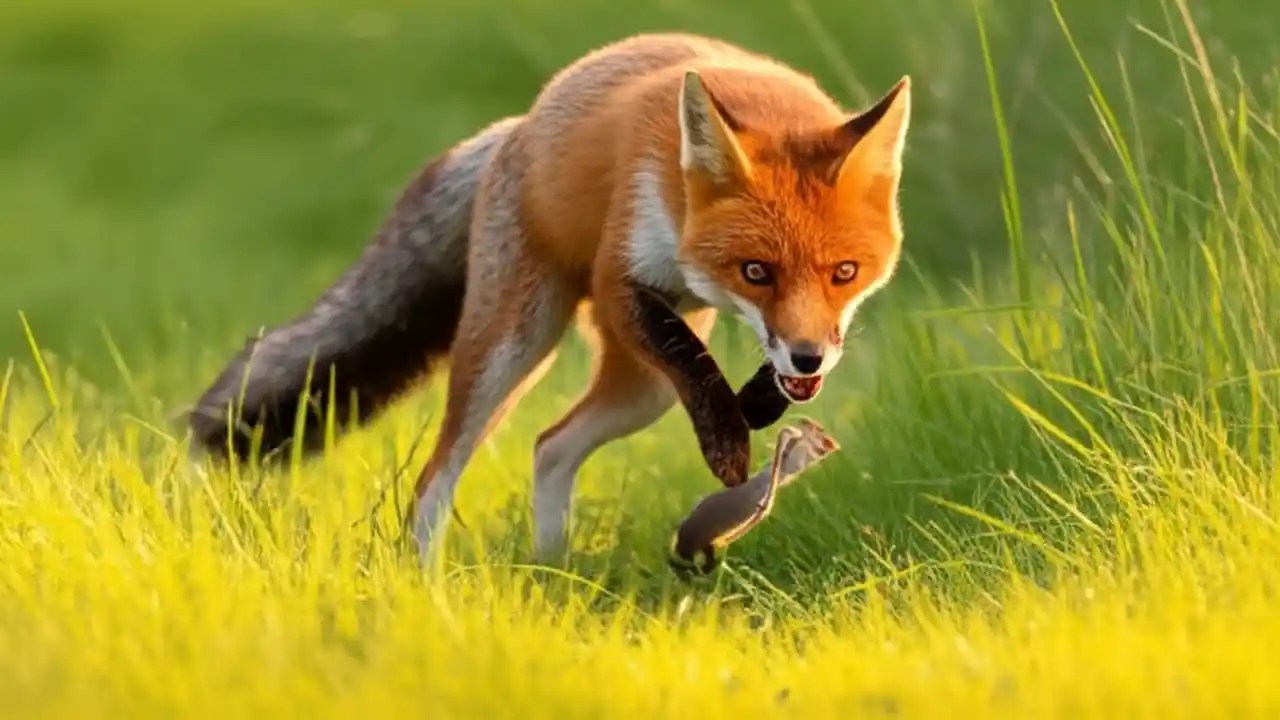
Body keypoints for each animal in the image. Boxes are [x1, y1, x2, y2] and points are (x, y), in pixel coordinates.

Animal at [186, 32, 912, 564]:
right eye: (756, 271)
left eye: (845, 273)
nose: (809, 359)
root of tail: (519, 126)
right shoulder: (622, 279)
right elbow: (695, 363)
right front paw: (730, 437)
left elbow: (749, 369)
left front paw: (759, 402)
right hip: (512, 349)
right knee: (435, 480)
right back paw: (424, 586)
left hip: (642, 394)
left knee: (550, 446)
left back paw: (553, 572)